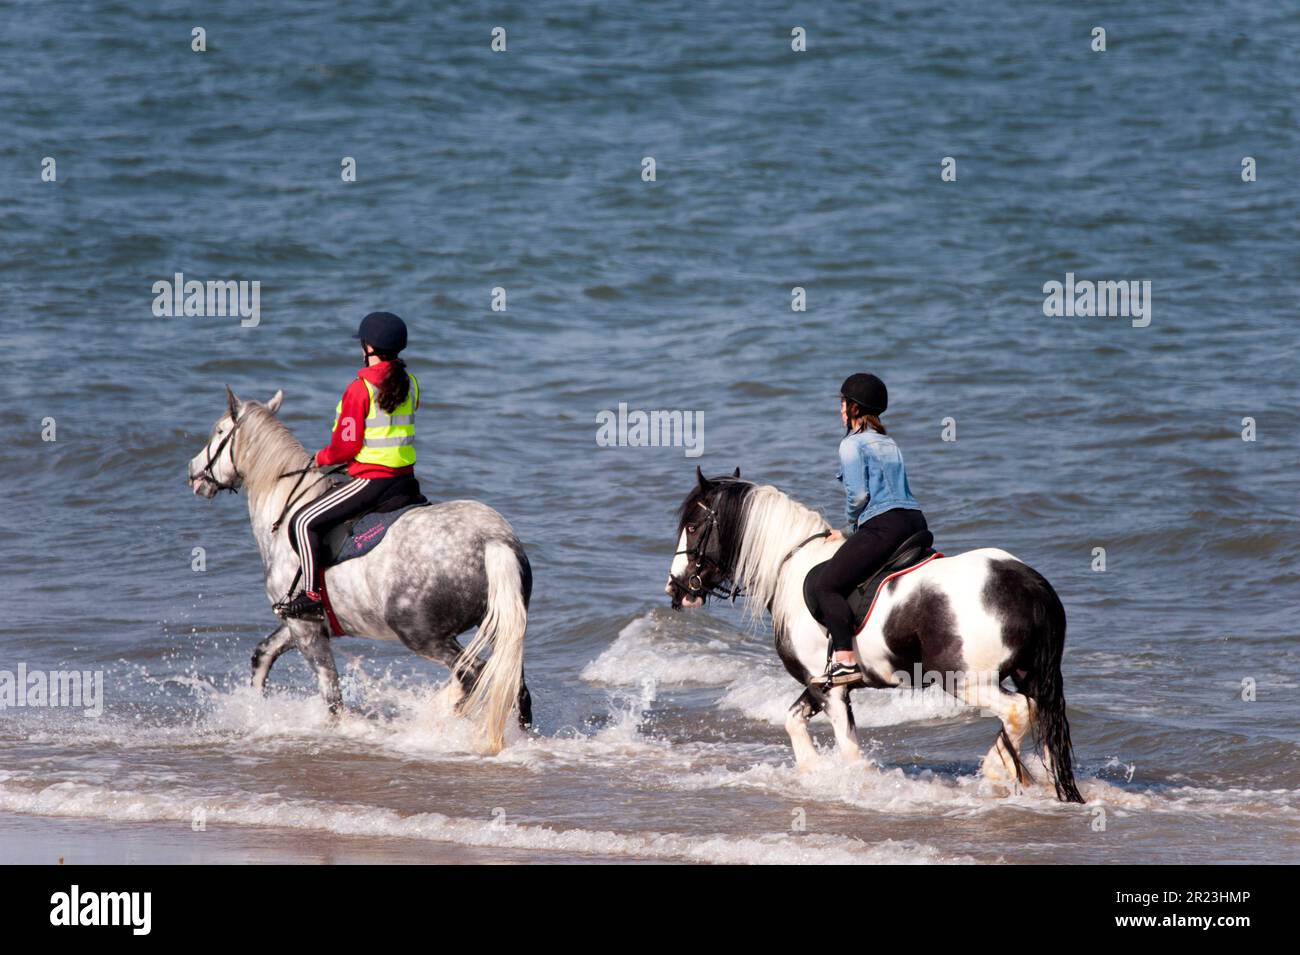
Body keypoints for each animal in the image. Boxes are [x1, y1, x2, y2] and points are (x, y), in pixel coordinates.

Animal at [186, 386, 532, 754]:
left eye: (220, 432)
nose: (193, 471)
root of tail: (492, 541)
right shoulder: (306, 623)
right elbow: (263, 655)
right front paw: (255, 711)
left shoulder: (304, 626)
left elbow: (331, 694)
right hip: (497, 626)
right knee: (516, 690)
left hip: (422, 635)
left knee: (471, 675)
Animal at [665, 467, 1083, 803]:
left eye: (693, 526)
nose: (675, 587)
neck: (791, 568)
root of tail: (1030, 585)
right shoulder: (823, 683)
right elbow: (793, 720)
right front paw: (812, 772)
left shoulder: (830, 689)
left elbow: (848, 752)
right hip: (1030, 675)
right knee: (1043, 723)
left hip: (966, 681)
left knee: (1018, 711)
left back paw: (998, 771)